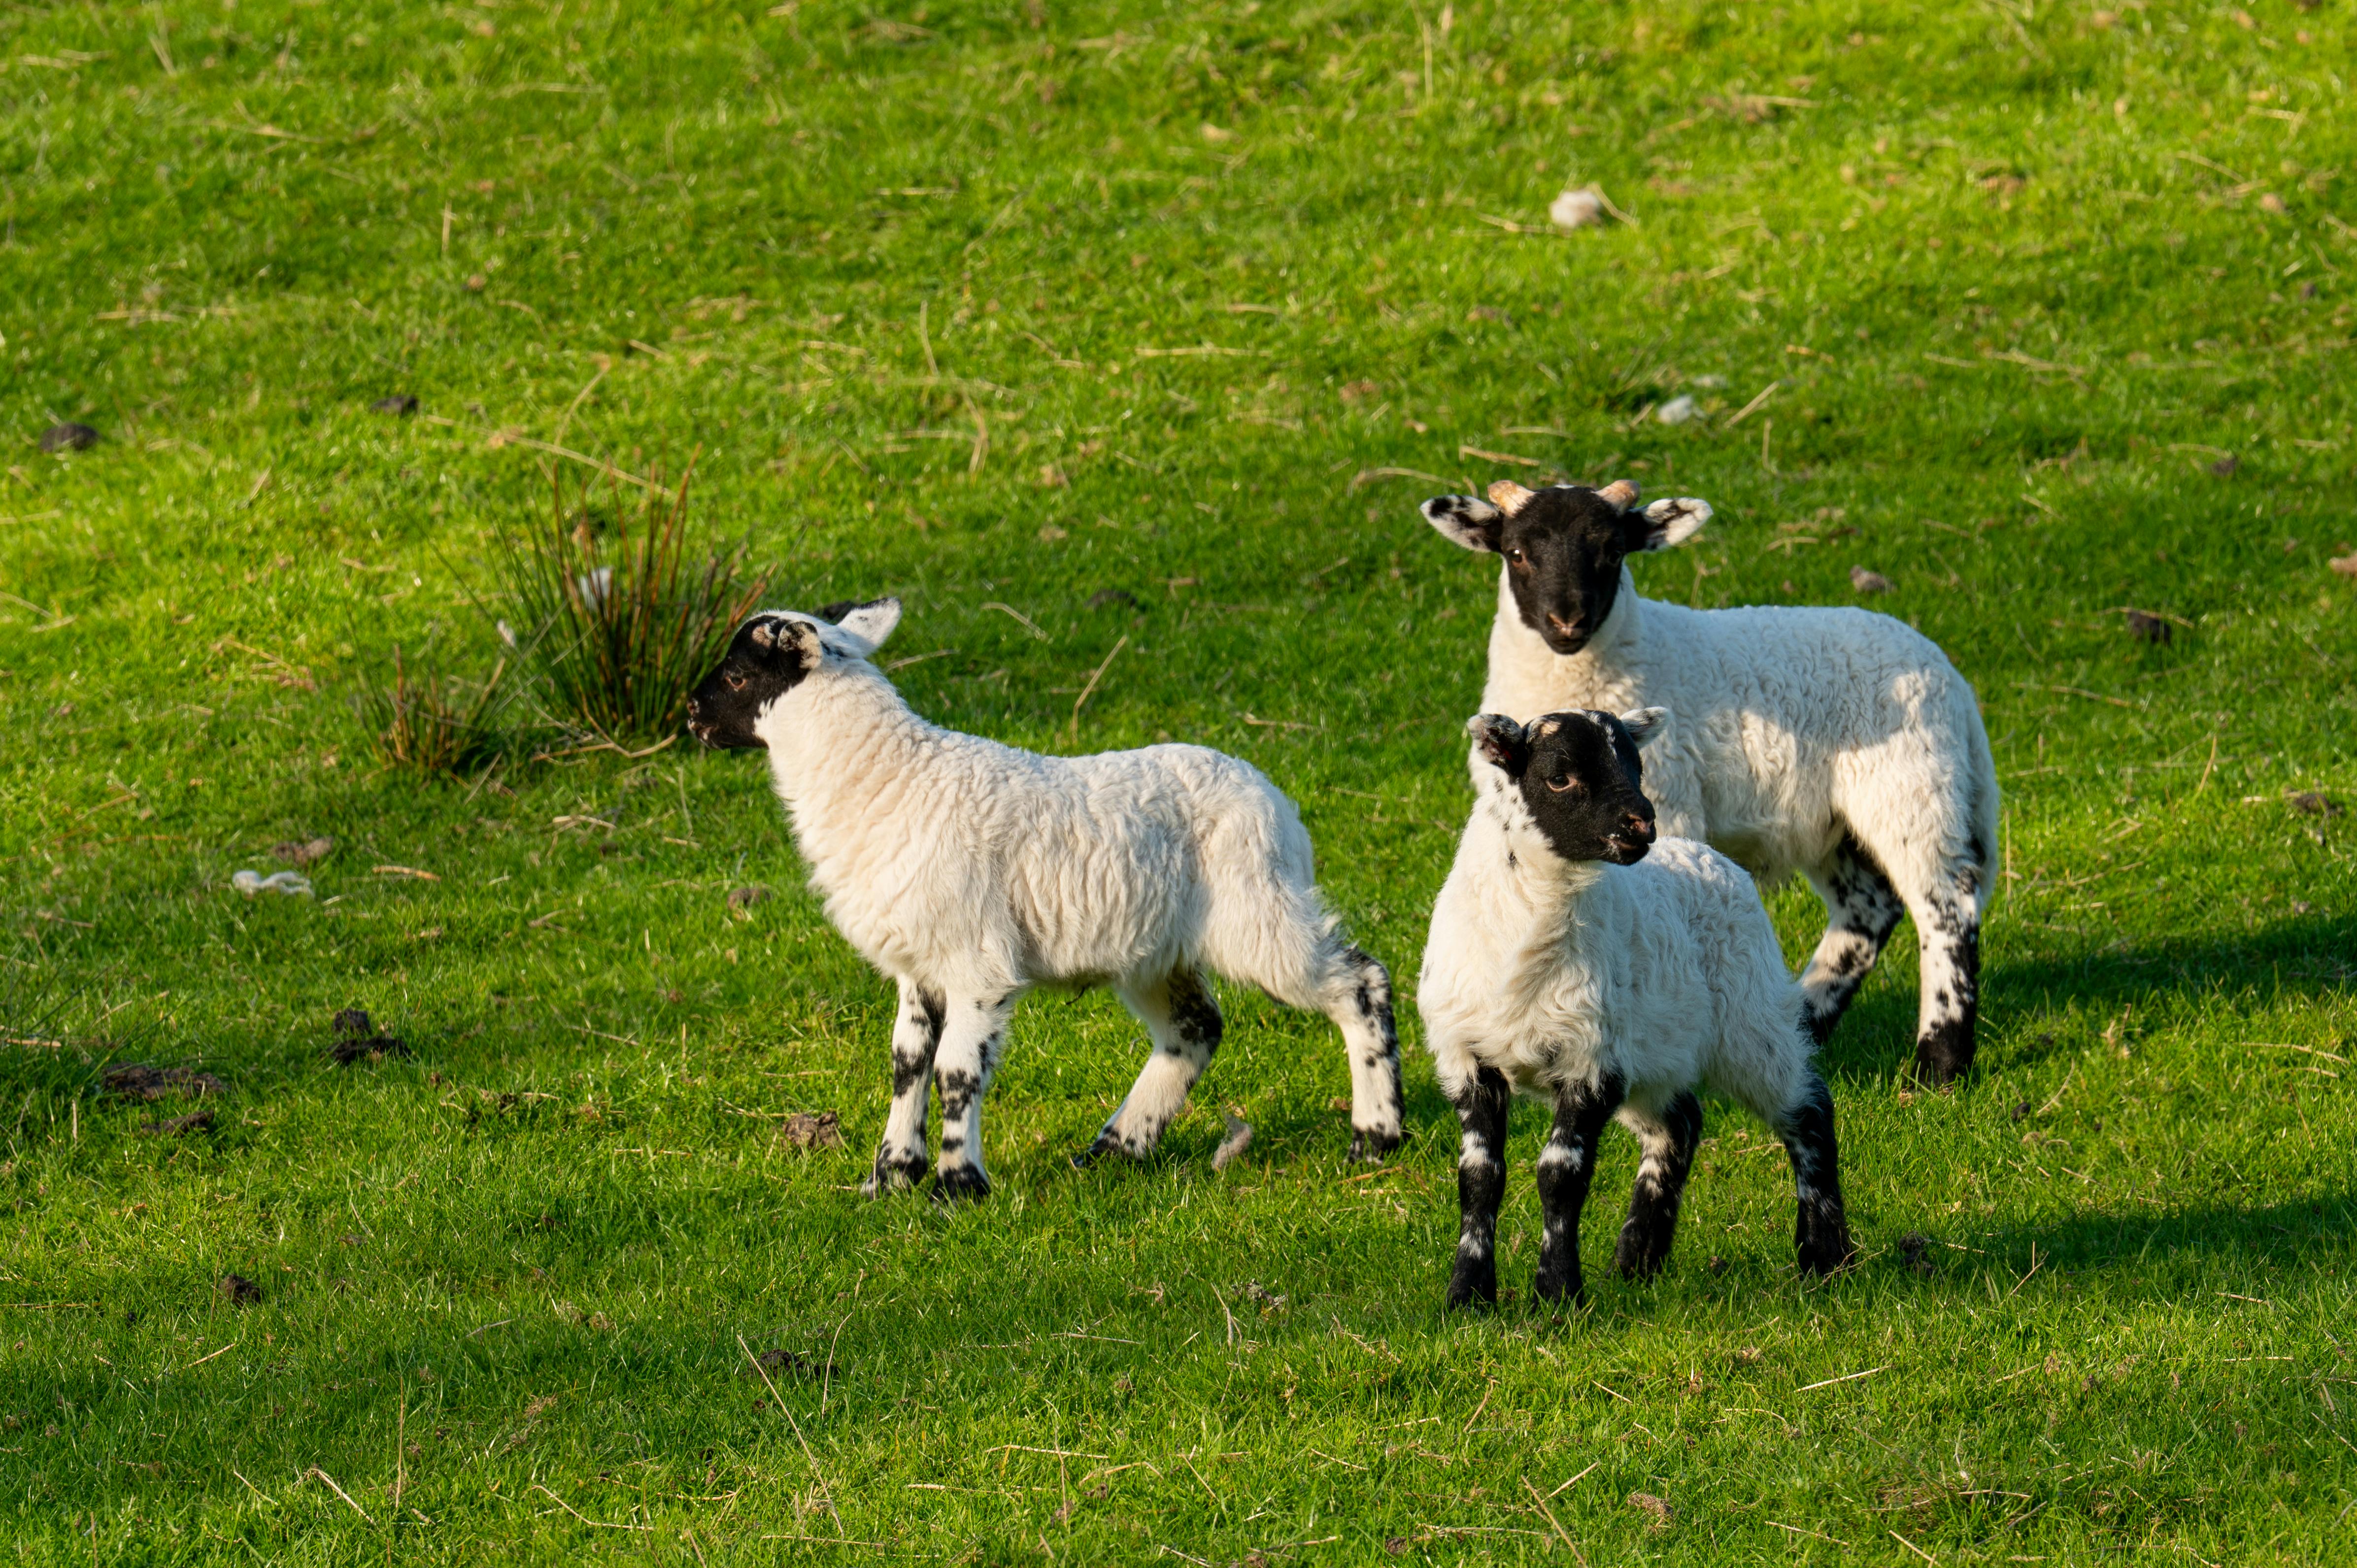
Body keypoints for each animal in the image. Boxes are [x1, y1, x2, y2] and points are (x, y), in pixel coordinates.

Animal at [684, 598, 1402, 1199]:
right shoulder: (918, 967)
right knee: (1195, 1028)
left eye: (740, 676)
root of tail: (1280, 804)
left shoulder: (977, 964)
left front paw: (957, 1185)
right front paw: (888, 1178)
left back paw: (1375, 1137)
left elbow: (955, 1071)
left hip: (1258, 913)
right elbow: (907, 1064)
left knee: (1359, 982)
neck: (886, 778)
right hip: (1158, 949)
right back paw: (1113, 1149)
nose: (690, 715)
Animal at [1418, 706, 1854, 1308]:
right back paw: (1637, 1259)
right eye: (1559, 776)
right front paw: (1467, 1295)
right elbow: (1479, 1177)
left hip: (1750, 1016)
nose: (1641, 824)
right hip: (1653, 1050)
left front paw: (1557, 1294)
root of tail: (1706, 854)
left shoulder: (1591, 1059)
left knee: (1808, 1109)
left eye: (1636, 765)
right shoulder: (1468, 1058)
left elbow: (1560, 1175)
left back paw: (1825, 1253)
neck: (1521, 940)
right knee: (1679, 1124)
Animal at [1420, 478, 1999, 1085]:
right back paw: (1805, 1021)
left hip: (1911, 788)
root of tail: (1950, 677)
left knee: (1946, 907)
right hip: (1835, 821)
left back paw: (1939, 1061)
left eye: (1612, 551)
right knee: (1869, 908)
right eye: (1515, 553)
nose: (1567, 621)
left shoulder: (1664, 806)